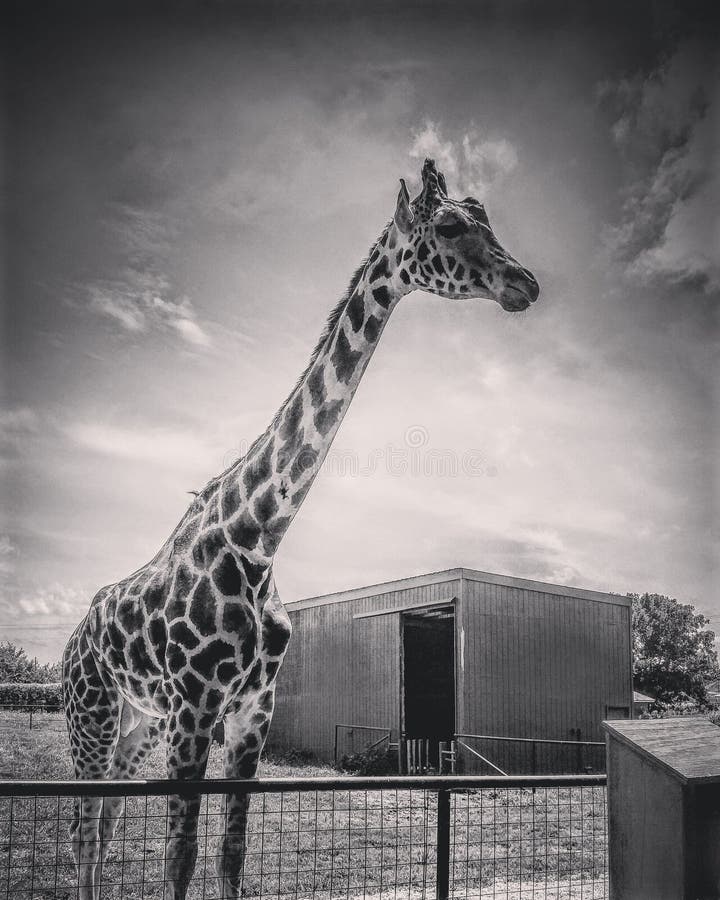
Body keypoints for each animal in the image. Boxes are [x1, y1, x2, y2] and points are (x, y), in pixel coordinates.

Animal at [62, 158, 539, 900]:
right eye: (450, 226)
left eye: (484, 216)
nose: (525, 284)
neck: (259, 537)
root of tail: (74, 639)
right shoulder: (196, 705)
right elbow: (180, 858)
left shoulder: (254, 709)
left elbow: (230, 853)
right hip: (92, 712)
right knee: (84, 830)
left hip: (137, 724)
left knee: (104, 827)